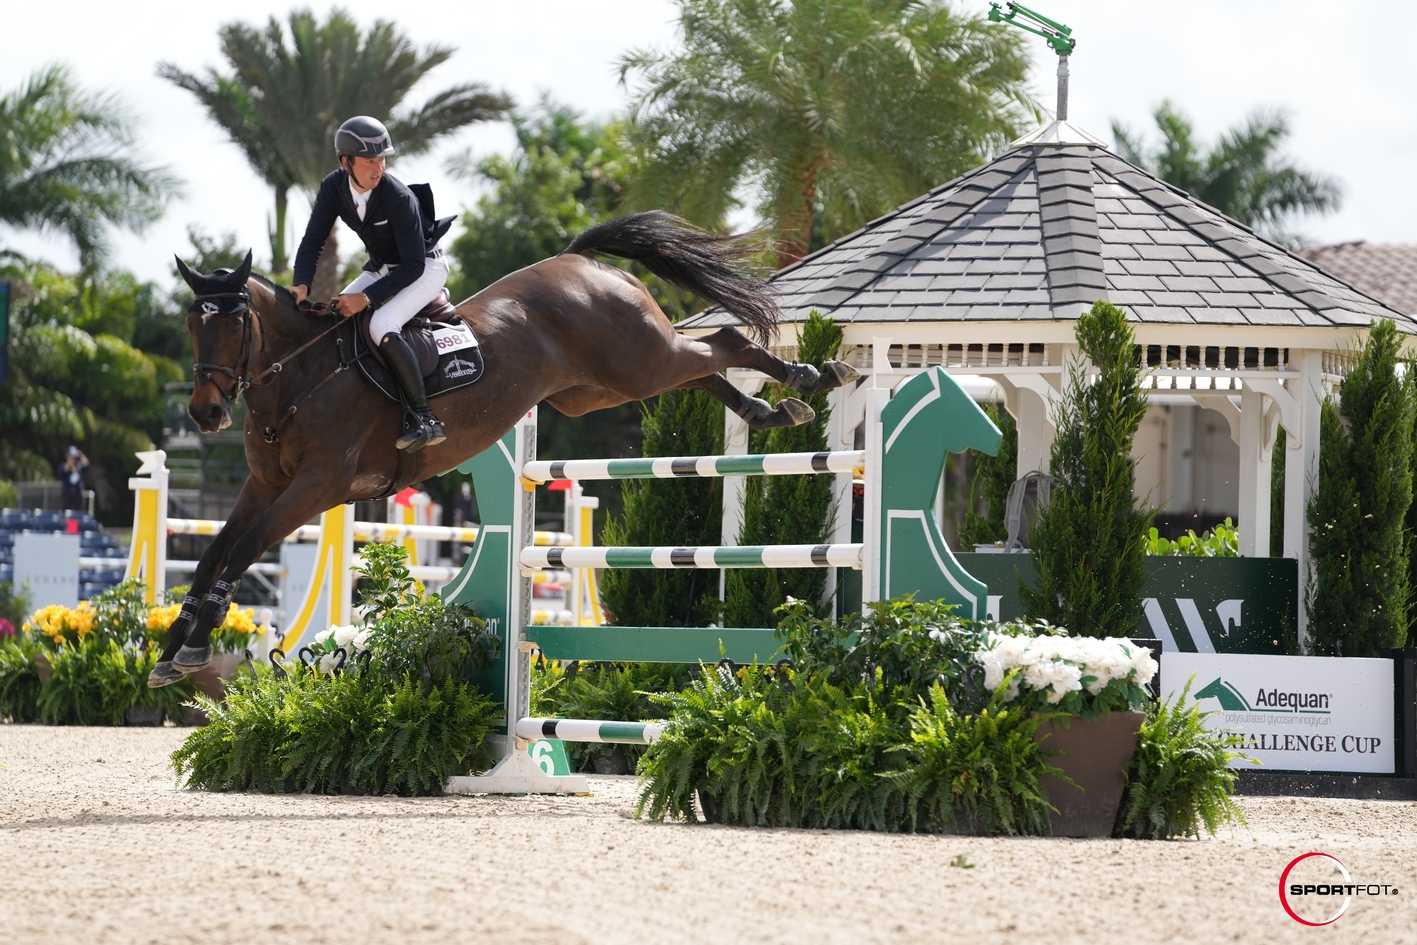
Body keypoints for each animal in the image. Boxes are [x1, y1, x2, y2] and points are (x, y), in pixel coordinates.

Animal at [150, 211, 860, 685]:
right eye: (190, 321)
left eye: (234, 322)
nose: (205, 412)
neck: (299, 378)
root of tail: (579, 261)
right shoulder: (267, 486)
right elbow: (213, 554)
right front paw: (171, 648)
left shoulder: (317, 487)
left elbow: (242, 550)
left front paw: (193, 644)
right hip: (598, 388)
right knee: (701, 367)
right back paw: (771, 408)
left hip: (636, 362)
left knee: (724, 346)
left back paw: (809, 379)